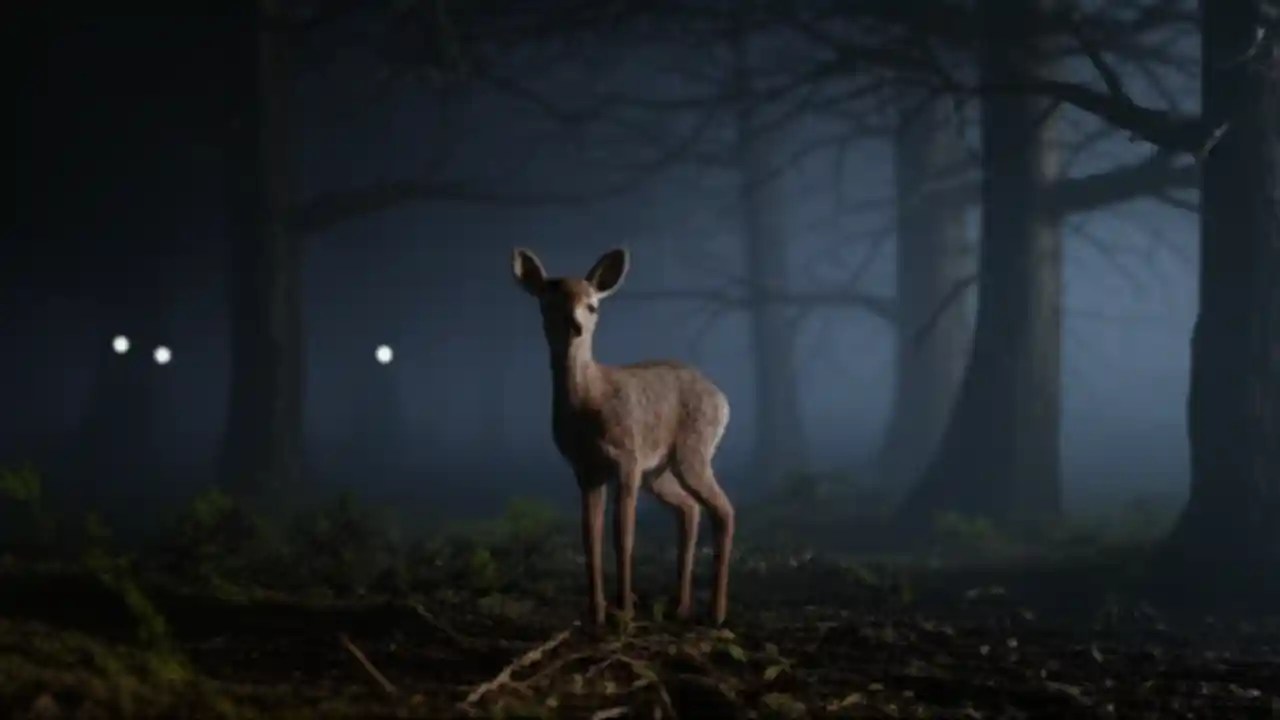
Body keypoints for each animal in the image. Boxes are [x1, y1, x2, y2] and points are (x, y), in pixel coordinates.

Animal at [512, 247, 736, 627]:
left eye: (592, 306)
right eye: (548, 303)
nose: (575, 326)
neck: (589, 402)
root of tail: (722, 398)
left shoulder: (627, 458)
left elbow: (624, 534)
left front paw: (625, 611)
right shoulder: (585, 469)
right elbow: (590, 536)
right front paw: (596, 614)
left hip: (692, 450)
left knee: (723, 510)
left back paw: (716, 613)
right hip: (658, 472)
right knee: (689, 509)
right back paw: (680, 607)